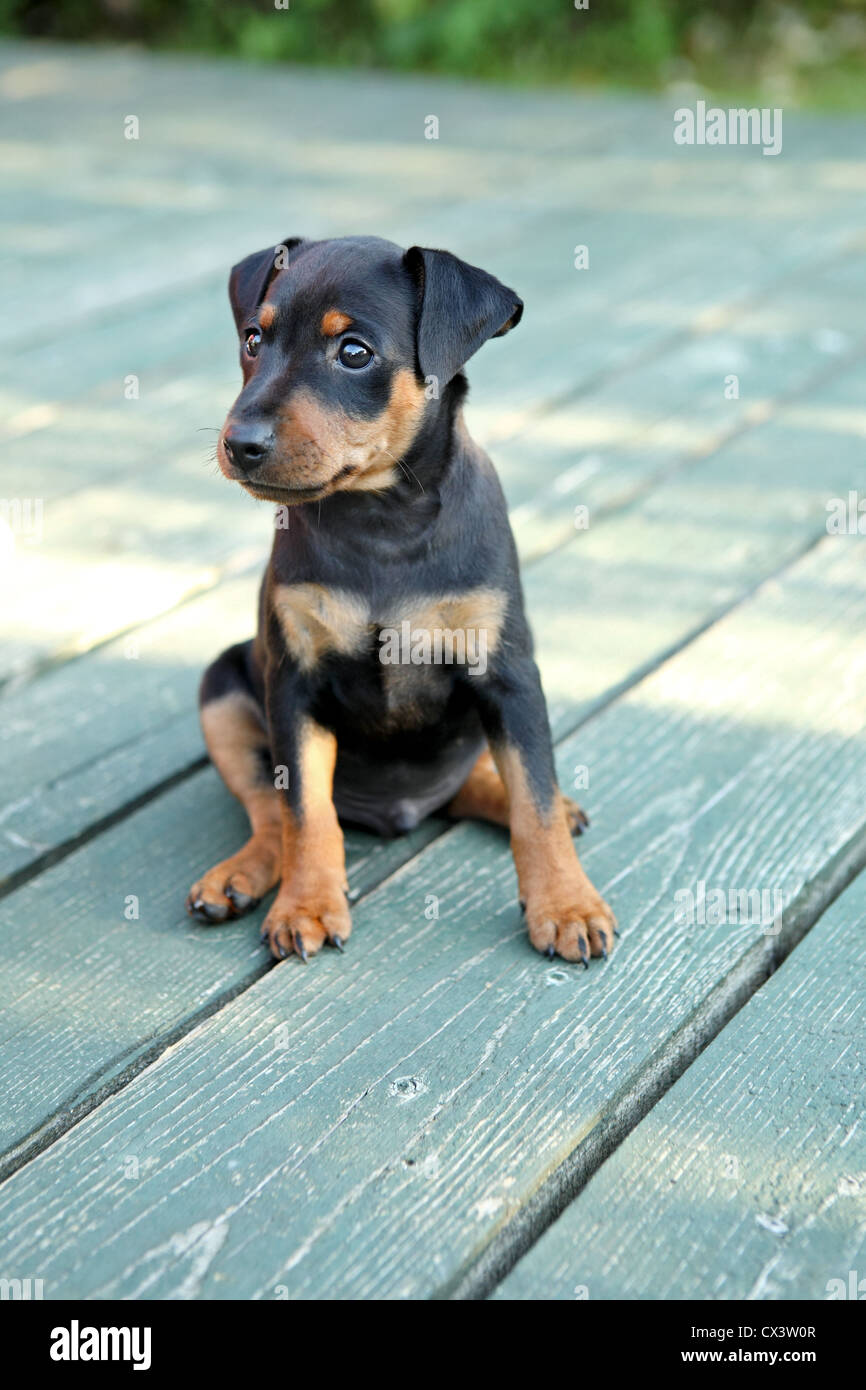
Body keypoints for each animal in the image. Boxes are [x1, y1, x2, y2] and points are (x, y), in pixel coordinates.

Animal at [187, 233, 617, 961]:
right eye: (252, 339)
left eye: (354, 352)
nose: (238, 444)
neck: (381, 517)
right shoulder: (294, 681)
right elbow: (304, 810)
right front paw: (306, 906)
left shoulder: (508, 674)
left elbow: (533, 797)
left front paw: (566, 906)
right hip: (222, 687)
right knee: (267, 808)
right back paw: (238, 877)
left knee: (493, 778)